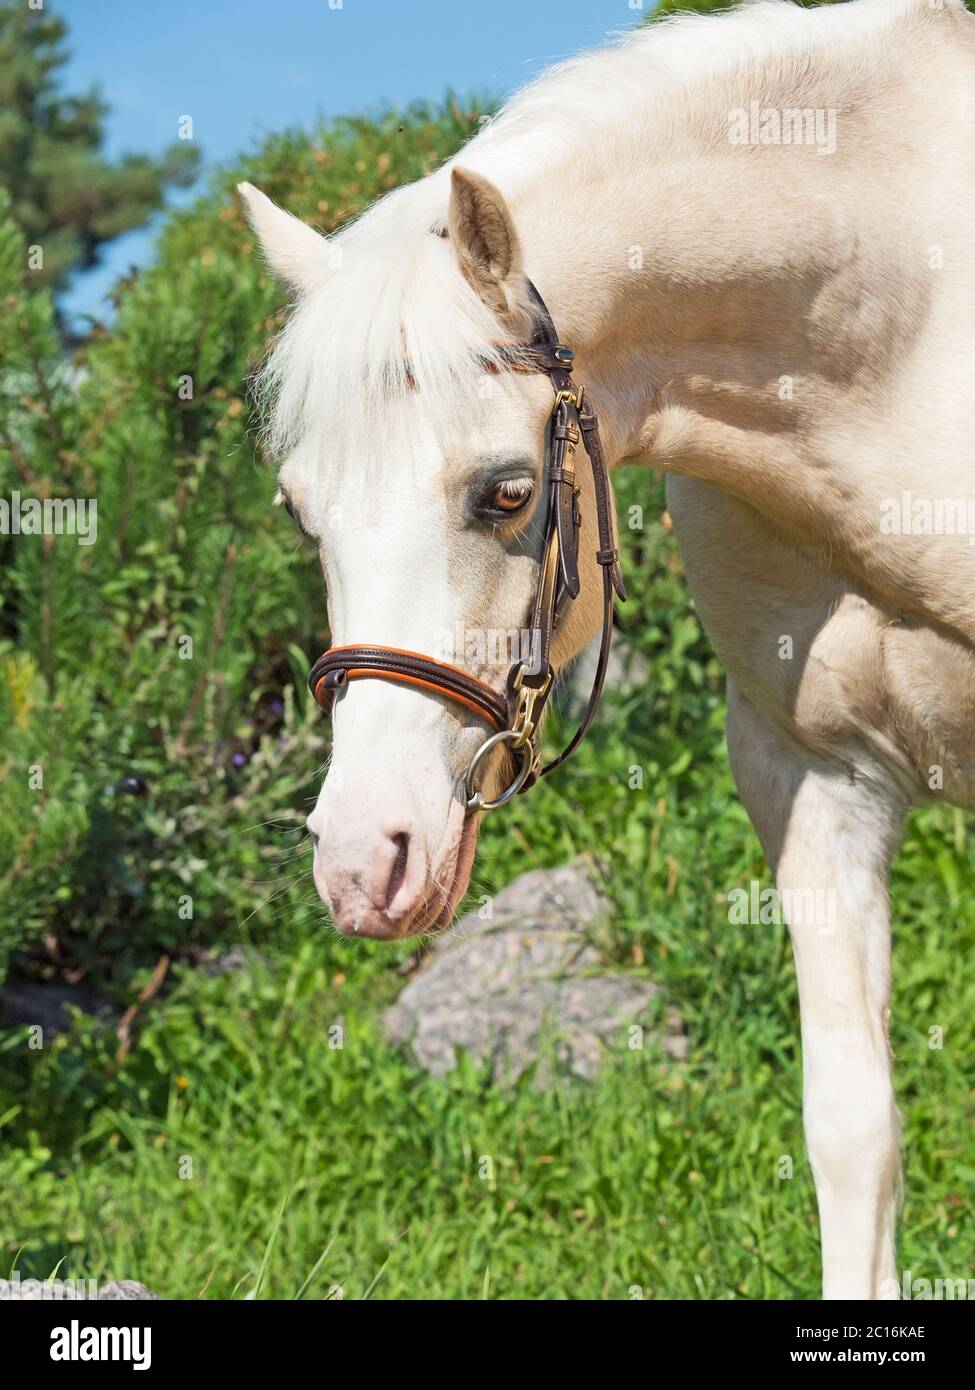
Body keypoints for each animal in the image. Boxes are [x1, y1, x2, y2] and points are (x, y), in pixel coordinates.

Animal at [239, 0, 975, 1300]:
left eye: (507, 491)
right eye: (299, 510)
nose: (364, 862)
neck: (904, 335)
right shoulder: (816, 779)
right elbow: (853, 1132)